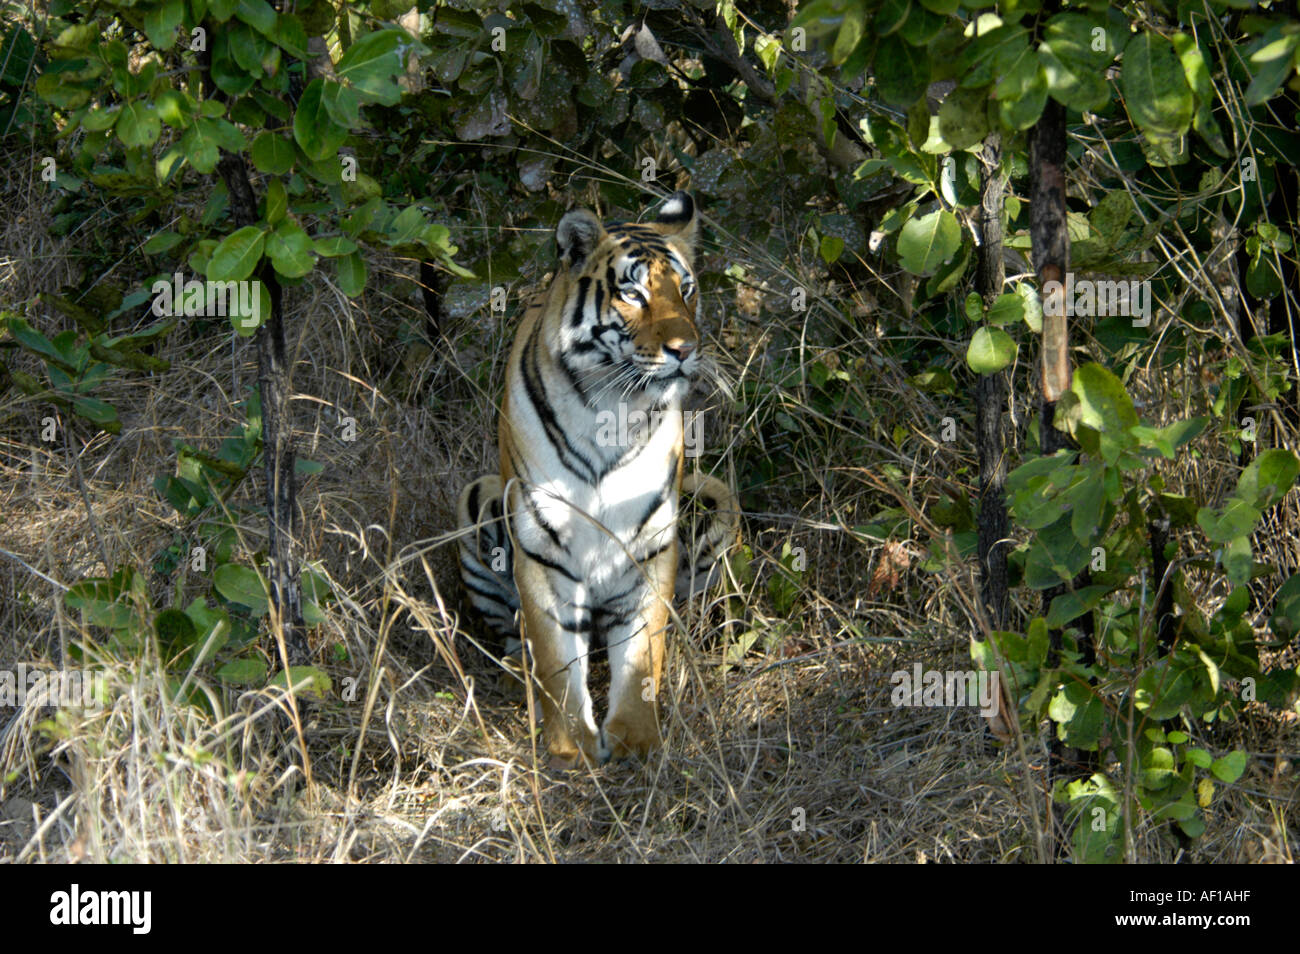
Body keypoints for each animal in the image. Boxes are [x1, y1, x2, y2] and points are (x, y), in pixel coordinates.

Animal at [456, 191, 738, 768]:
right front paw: (571, 747)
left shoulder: (652, 543)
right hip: (480, 500)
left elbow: (643, 653)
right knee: (513, 638)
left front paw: (635, 739)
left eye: (686, 289)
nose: (686, 349)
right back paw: (519, 675)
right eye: (632, 292)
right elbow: (557, 657)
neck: (613, 406)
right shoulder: (542, 546)